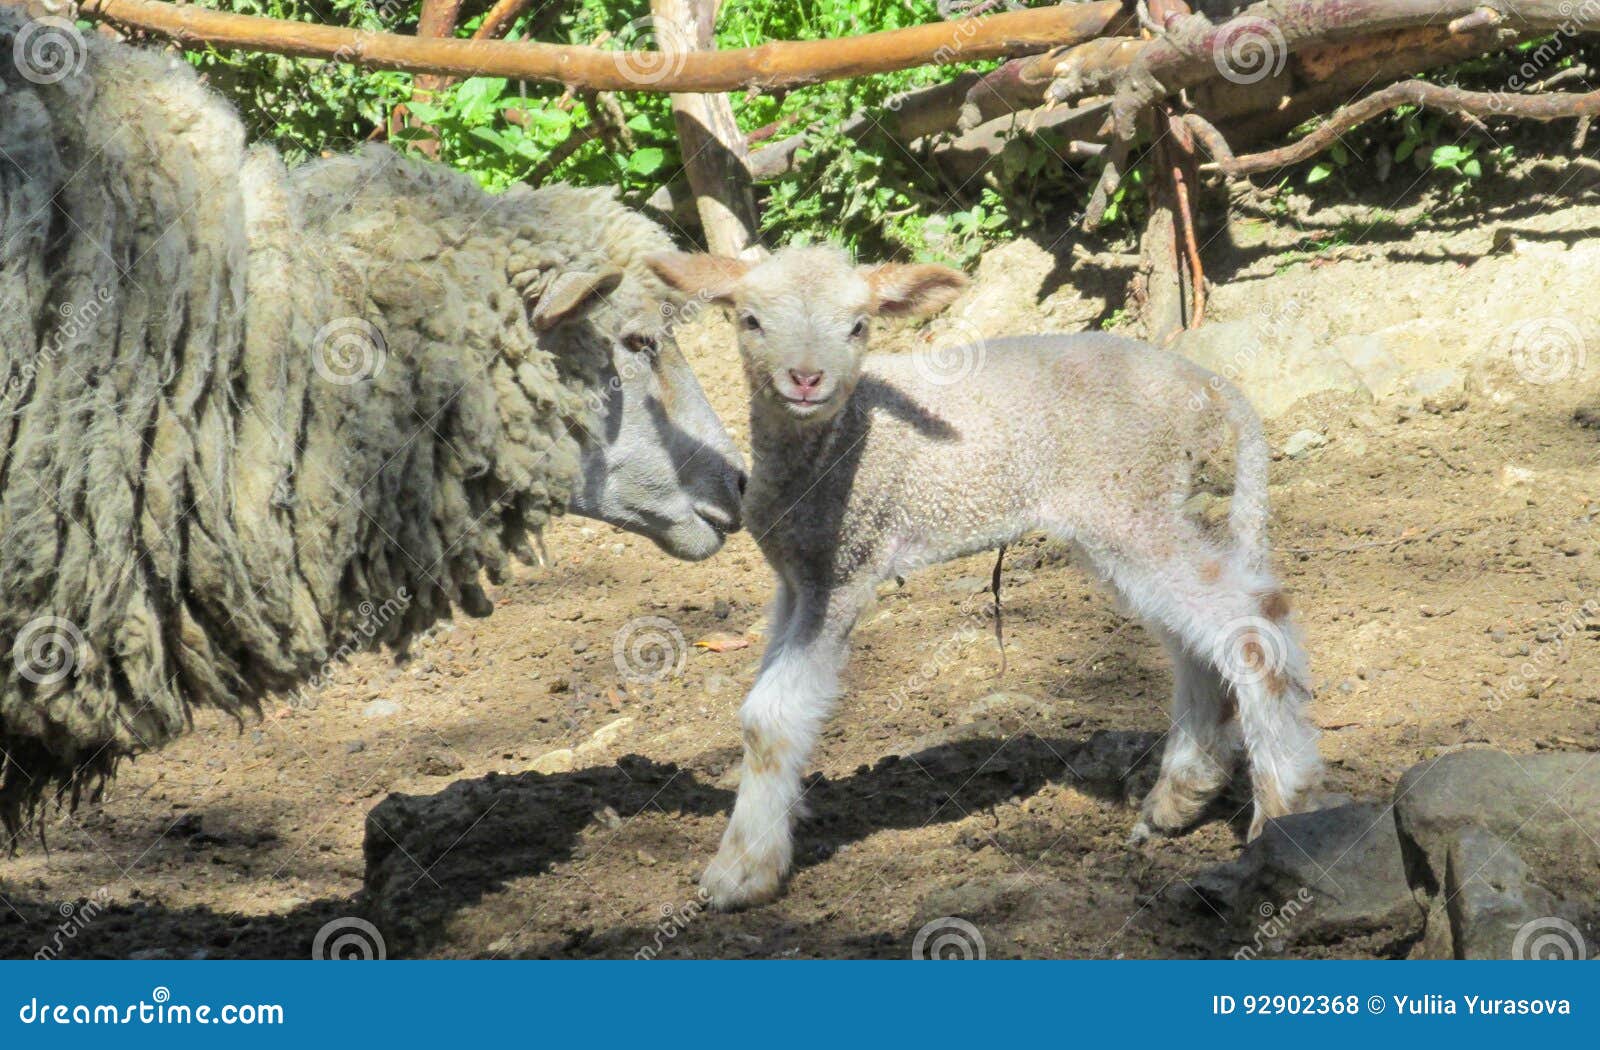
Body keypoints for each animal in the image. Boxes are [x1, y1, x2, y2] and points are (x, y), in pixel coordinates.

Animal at [649, 245, 1322, 910]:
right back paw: (1179, 798)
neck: (832, 443)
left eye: (859, 326)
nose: (807, 380)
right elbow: (756, 712)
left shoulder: (843, 569)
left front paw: (740, 875)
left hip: (1129, 501)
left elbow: (771, 718)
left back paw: (1281, 809)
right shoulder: (796, 579)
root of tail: (1204, 384)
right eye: (750, 321)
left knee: (1252, 618)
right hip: (1132, 511)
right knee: (1195, 639)